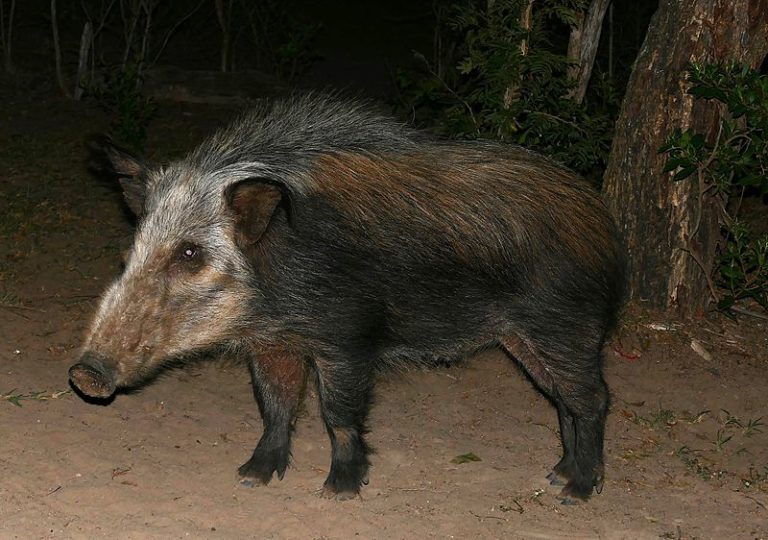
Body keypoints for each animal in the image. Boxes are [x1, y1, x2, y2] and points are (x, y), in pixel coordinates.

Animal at [69, 93, 625, 502]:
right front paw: (250, 477)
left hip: (564, 326)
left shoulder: (347, 338)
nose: (84, 374)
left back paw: (576, 492)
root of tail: (604, 223)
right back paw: (556, 475)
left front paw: (337, 492)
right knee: (561, 399)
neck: (277, 287)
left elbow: (338, 414)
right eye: (135, 245)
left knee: (593, 398)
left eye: (189, 252)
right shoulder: (273, 343)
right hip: (522, 339)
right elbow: (274, 405)